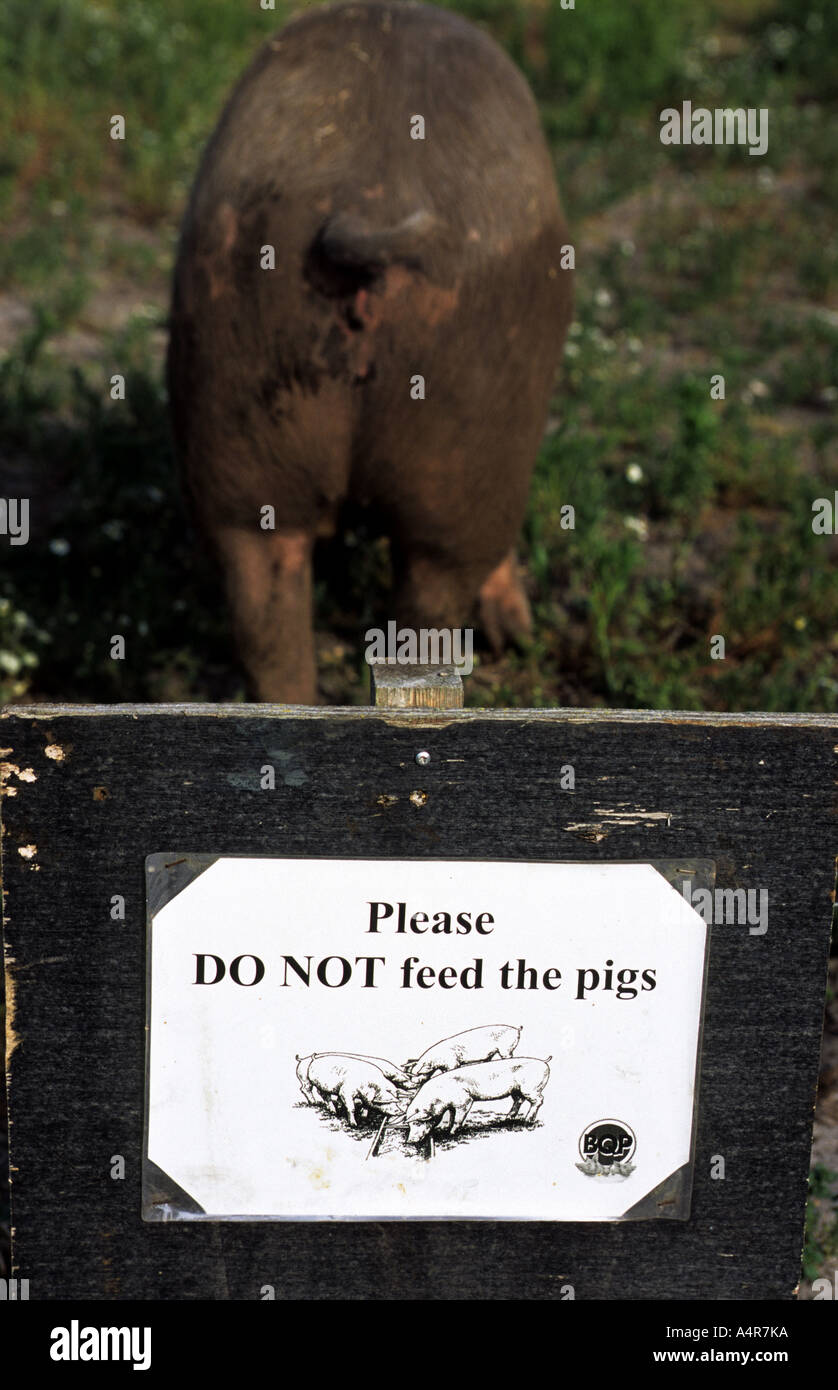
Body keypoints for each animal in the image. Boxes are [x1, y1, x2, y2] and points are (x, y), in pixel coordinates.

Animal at [402, 1057, 551, 1144]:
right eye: (410, 1123)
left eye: (418, 1122)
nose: (409, 1141)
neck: (440, 1097)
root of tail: (544, 1062)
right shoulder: (453, 1104)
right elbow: (451, 1115)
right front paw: (447, 1128)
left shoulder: (465, 1101)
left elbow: (458, 1118)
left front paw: (451, 1133)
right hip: (516, 1090)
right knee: (519, 1100)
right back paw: (508, 1118)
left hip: (531, 1088)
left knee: (539, 1100)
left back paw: (527, 1120)